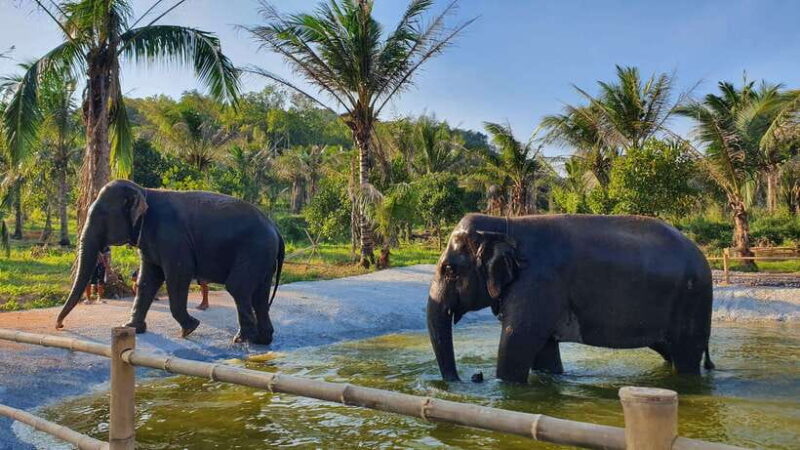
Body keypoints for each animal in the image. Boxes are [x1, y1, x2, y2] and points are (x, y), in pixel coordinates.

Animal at [56, 180, 285, 345]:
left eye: (102, 215)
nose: (59, 325)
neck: (144, 191)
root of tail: (276, 229)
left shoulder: (172, 238)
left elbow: (178, 275)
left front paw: (190, 328)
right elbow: (147, 280)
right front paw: (131, 327)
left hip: (254, 251)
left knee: (238, 288)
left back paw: (242, 340)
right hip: (263, 257)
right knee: (260, 294)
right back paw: (262, 340)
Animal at [427, 213, 714, 383]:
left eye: (450, 270)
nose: (473, 377)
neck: (505, 223)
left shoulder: (537, 282)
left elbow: (516, 341)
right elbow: (543, 351)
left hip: (692, 302)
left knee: (686, 357)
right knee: (670, 351)